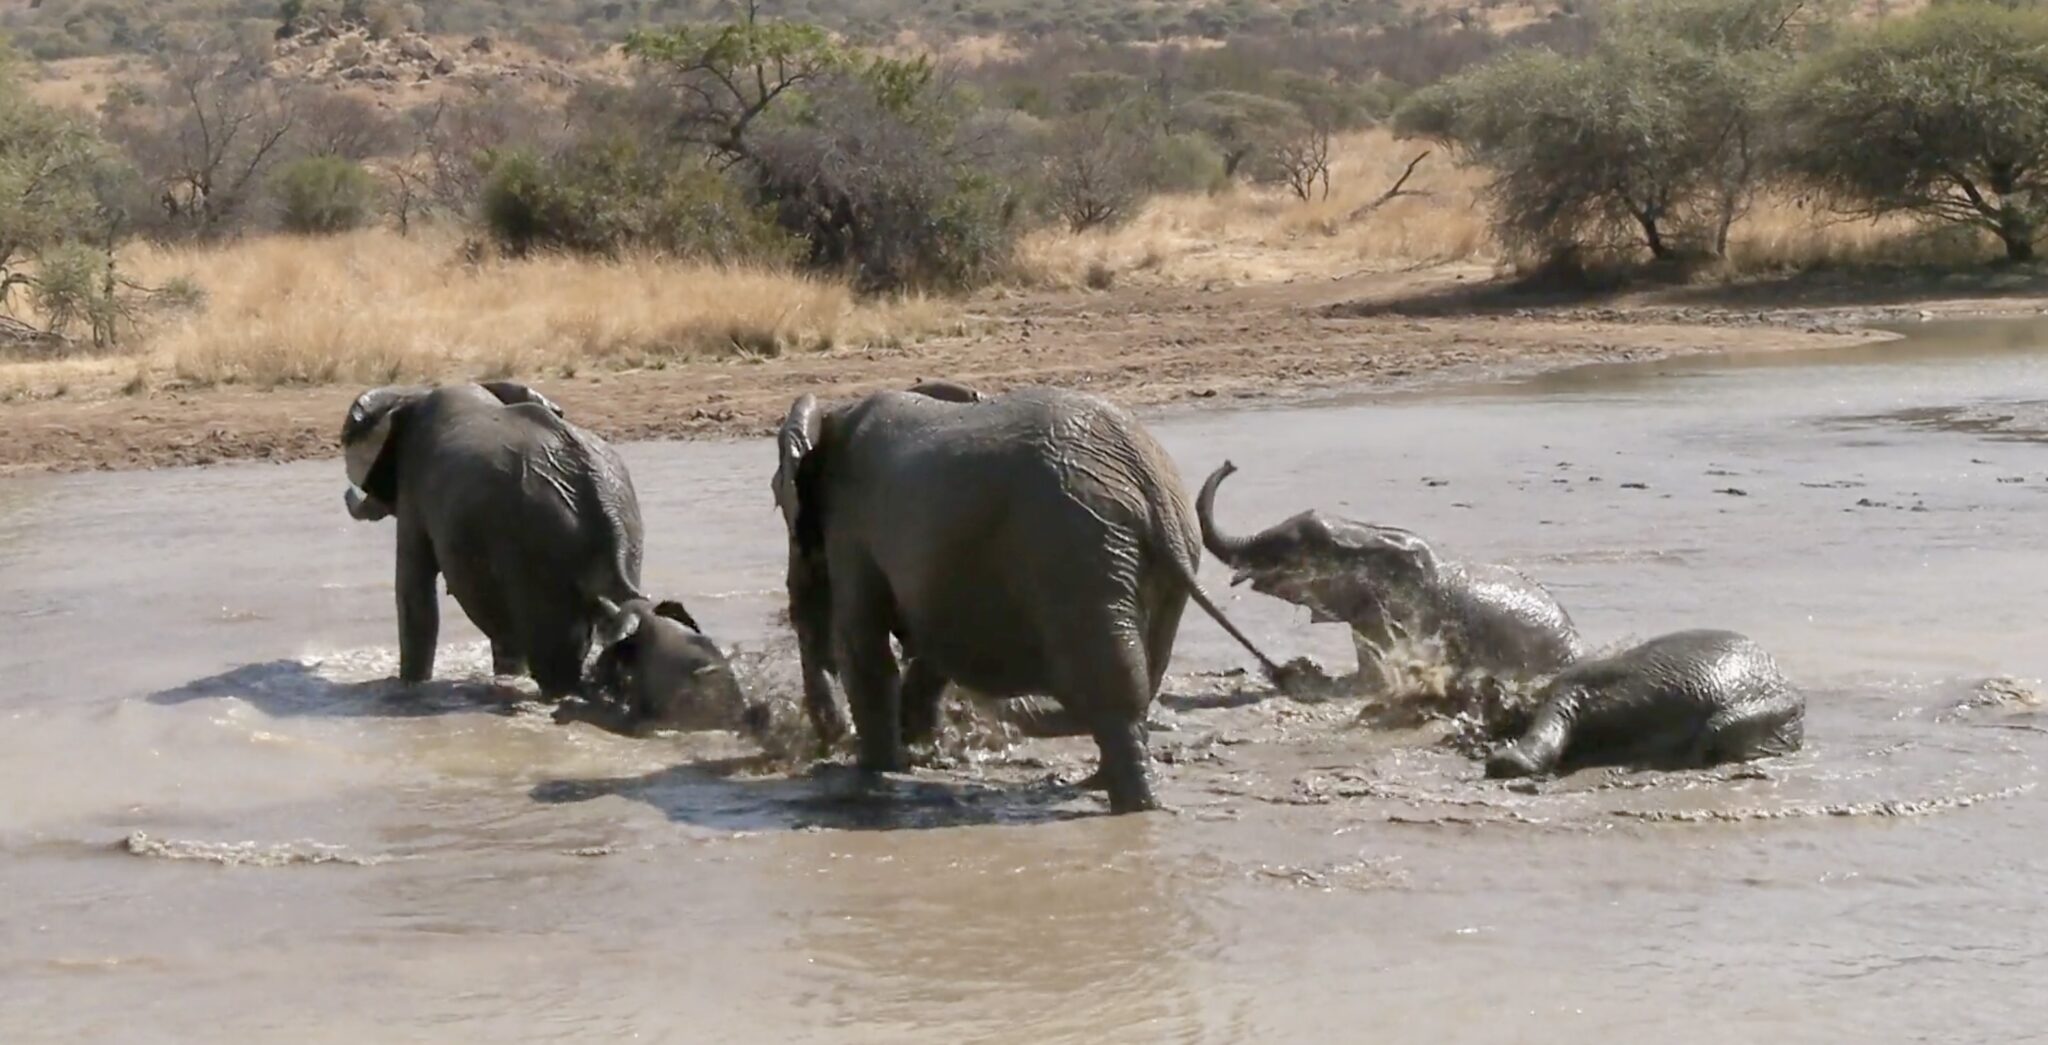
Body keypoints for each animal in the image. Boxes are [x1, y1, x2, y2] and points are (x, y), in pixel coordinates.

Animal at [341, 381, 702, 699]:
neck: (412, 393)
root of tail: (602, 499)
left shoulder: (413, 486)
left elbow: (414, 595)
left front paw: (410, 689)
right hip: (619, 528)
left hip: (538, 546)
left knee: (554, 655)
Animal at [772, 382, 1289, 813]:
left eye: (781, 503)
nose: (825, 743)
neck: (833, 418)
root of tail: (1149, 486)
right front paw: (910, 749)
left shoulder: (851, 527)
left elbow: (863, 646)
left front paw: (879, 771)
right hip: (1153, 558)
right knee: (1141, 675)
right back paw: (1099, 786)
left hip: (1076, 550)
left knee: (1111, 687)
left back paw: (1131, 806)